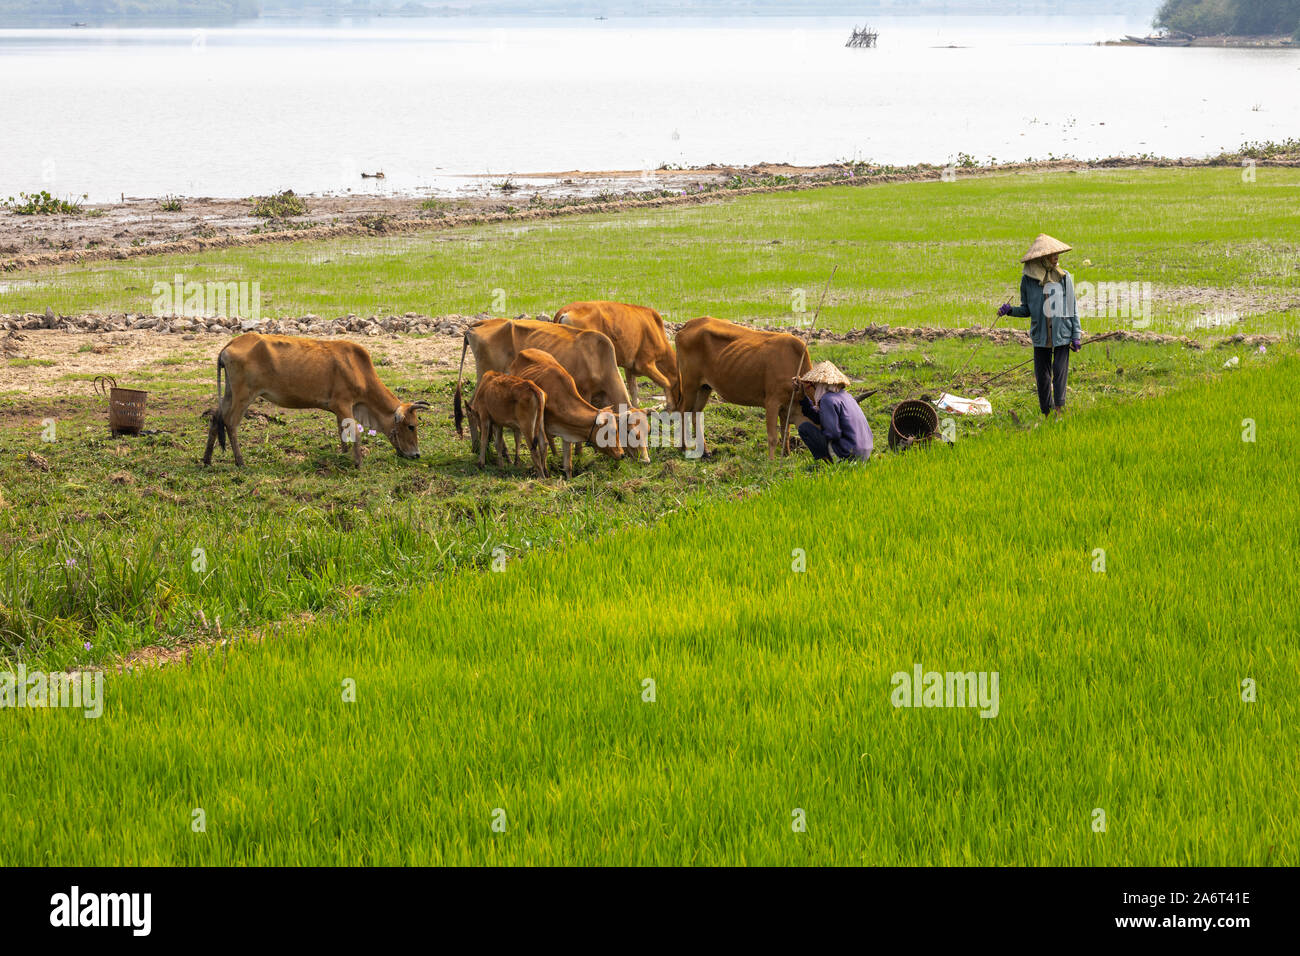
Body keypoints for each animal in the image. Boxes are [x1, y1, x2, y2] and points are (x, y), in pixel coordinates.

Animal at [202, 333, 430, 468]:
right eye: (411, 426)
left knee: (216, 418)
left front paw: (344, 455)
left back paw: (207, 460)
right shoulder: (343, 404)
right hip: (244, 395)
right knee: (230, 423)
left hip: (230, 393)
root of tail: (231, 343)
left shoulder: (340, 410)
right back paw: (240, 461)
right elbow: (354, 432)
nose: (417, 454)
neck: (359, 369)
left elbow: (342, 432)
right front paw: (358, 463)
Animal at [454, 318, 650, 462]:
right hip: (485, 375)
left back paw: (482, 447)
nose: (645, 460)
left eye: (647, 431)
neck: (599, 359)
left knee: (471, 407)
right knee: (474, 408)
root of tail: (477, 325)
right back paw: (489, 449)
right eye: (630, 431)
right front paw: (579, 453)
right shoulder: (583, 392)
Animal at [508, 348, 624, 479]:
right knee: (518, 437)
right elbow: (543, 447)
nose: (622, 454)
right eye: (613, 431)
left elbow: (568, 465)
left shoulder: (567, 433)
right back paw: (517, 461)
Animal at [671, 316, 812, 459]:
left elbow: (785, 433)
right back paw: (683, 447)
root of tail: (691, 323)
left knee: (696, 414)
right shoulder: (772, 402)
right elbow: (773, 437)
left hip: (704, 387)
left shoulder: (786, 406)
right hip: (690, 385)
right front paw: (771, 462)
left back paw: (705, 451)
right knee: (682, 412)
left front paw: (787, 455)